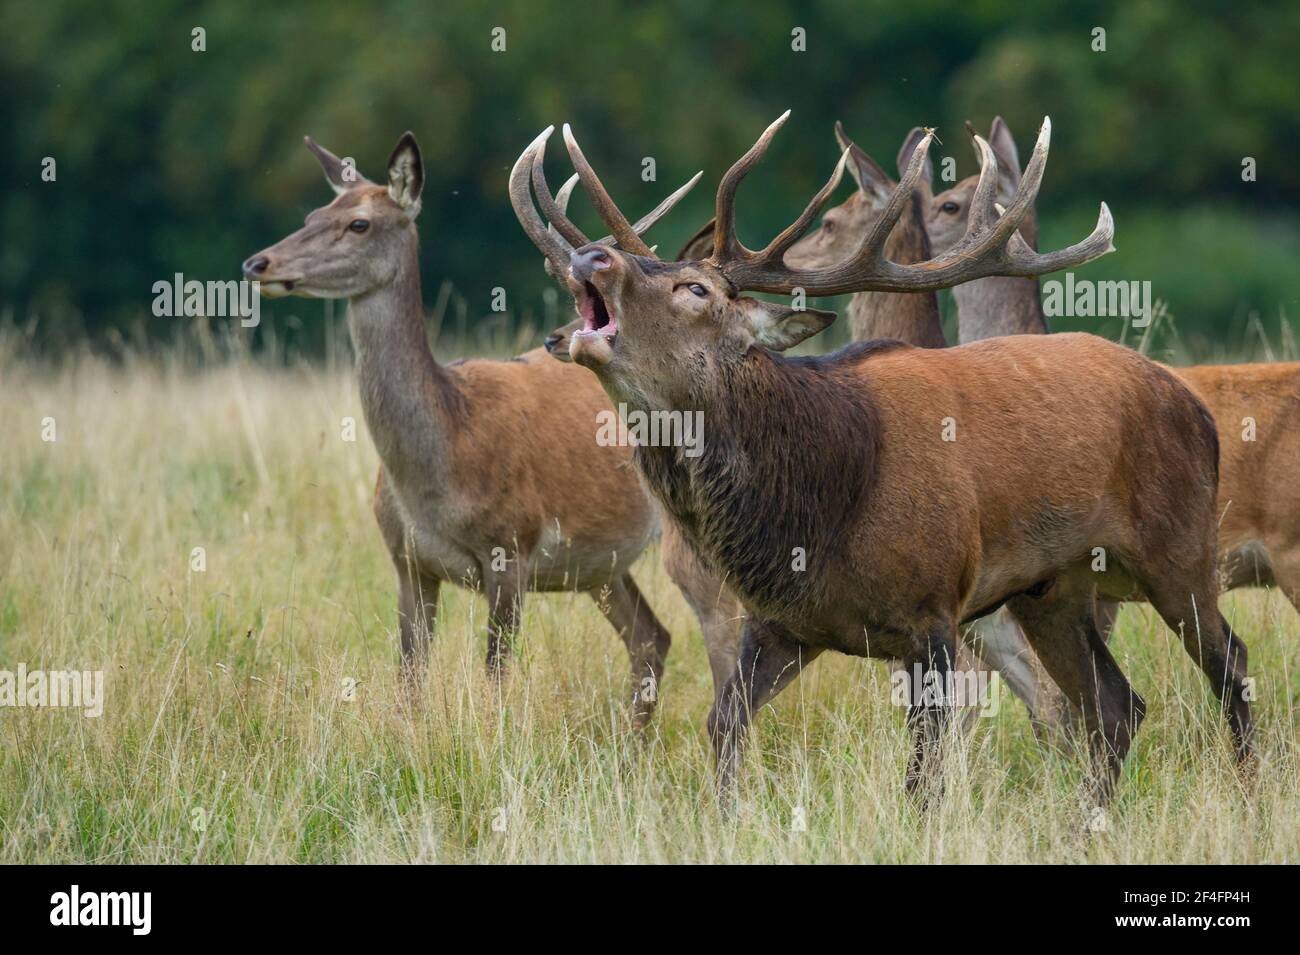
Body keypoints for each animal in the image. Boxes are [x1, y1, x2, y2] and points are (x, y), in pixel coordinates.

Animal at [241, 131, 701, 726]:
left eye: (360, 223)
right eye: (313, 213)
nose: (258, 263)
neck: (443, 463)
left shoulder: (512, 550)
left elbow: (495, 679)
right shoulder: (407, 562)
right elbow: (409, 681)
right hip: (600, 569)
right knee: (650, 637)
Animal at [512, 112, 1254, 810]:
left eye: (696, 289)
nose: (592, 257)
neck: (822, 502)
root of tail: (1194, 404)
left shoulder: (933, 612)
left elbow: (924, 776)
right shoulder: (781, 620)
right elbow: (724, 725)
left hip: (1180, 550)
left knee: (1230, 665)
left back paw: (1248, 794)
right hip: (1052, 591)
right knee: (1116, 706)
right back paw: (1084, 826)